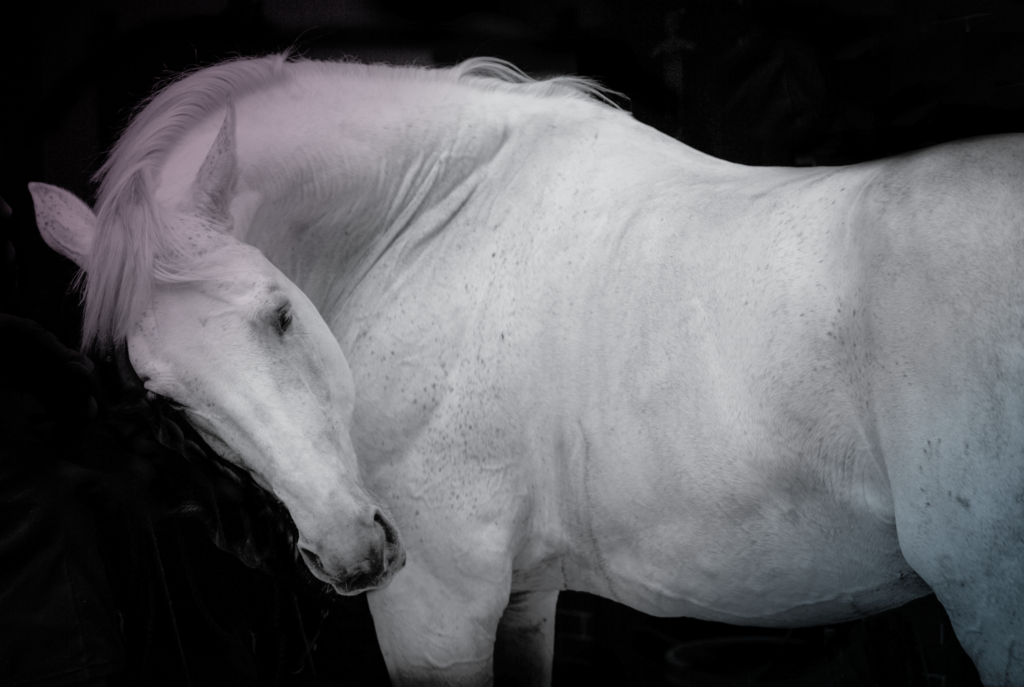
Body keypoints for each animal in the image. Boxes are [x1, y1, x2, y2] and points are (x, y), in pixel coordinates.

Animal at [29, 54, 1024, 686]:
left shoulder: (436, 607)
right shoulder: (518, 597)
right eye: (162, 394)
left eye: (277, 312)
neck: (434, 224)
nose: (351, 550)